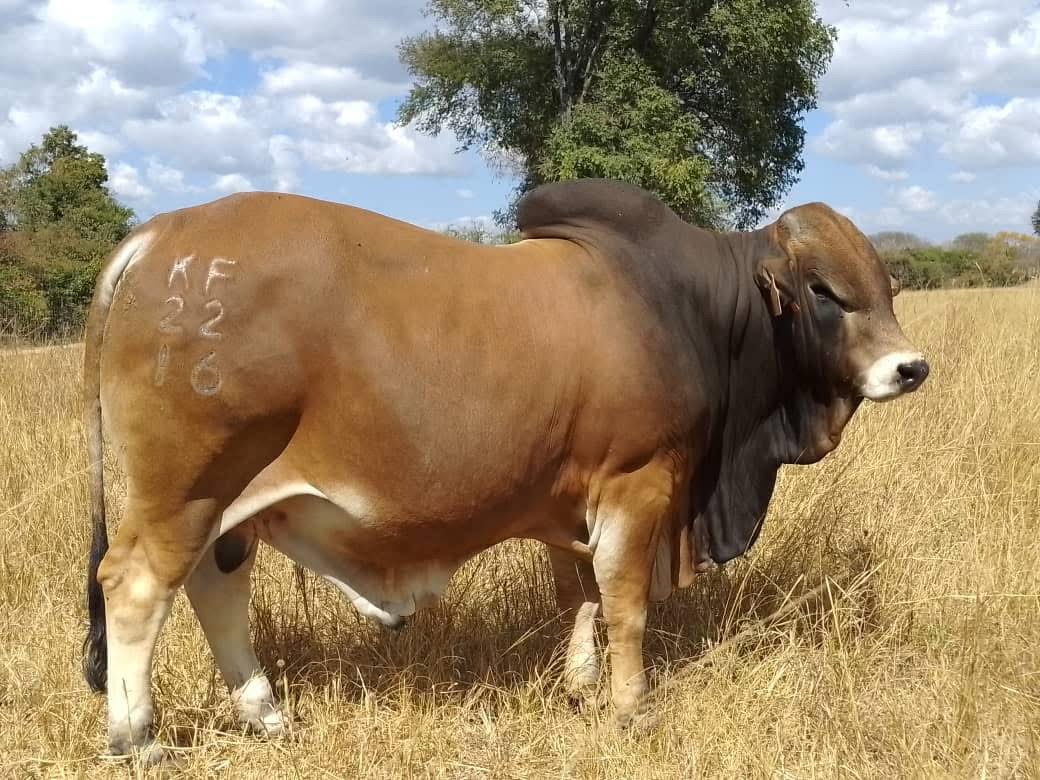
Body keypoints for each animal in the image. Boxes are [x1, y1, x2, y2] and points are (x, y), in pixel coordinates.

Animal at [80, 179, 928, 762]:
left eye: (887, 286)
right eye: (824, 290)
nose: (909, 368)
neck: (694, 310)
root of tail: (159, 234)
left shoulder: (569, 498)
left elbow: (577, 598)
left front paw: (582, 689)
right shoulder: (639, 481)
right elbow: (624, 606)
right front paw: (631, 706)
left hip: (227, 504)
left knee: (213, 587)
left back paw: (266, 714)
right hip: (186, 489)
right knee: (135, 586)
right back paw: (138, 738)